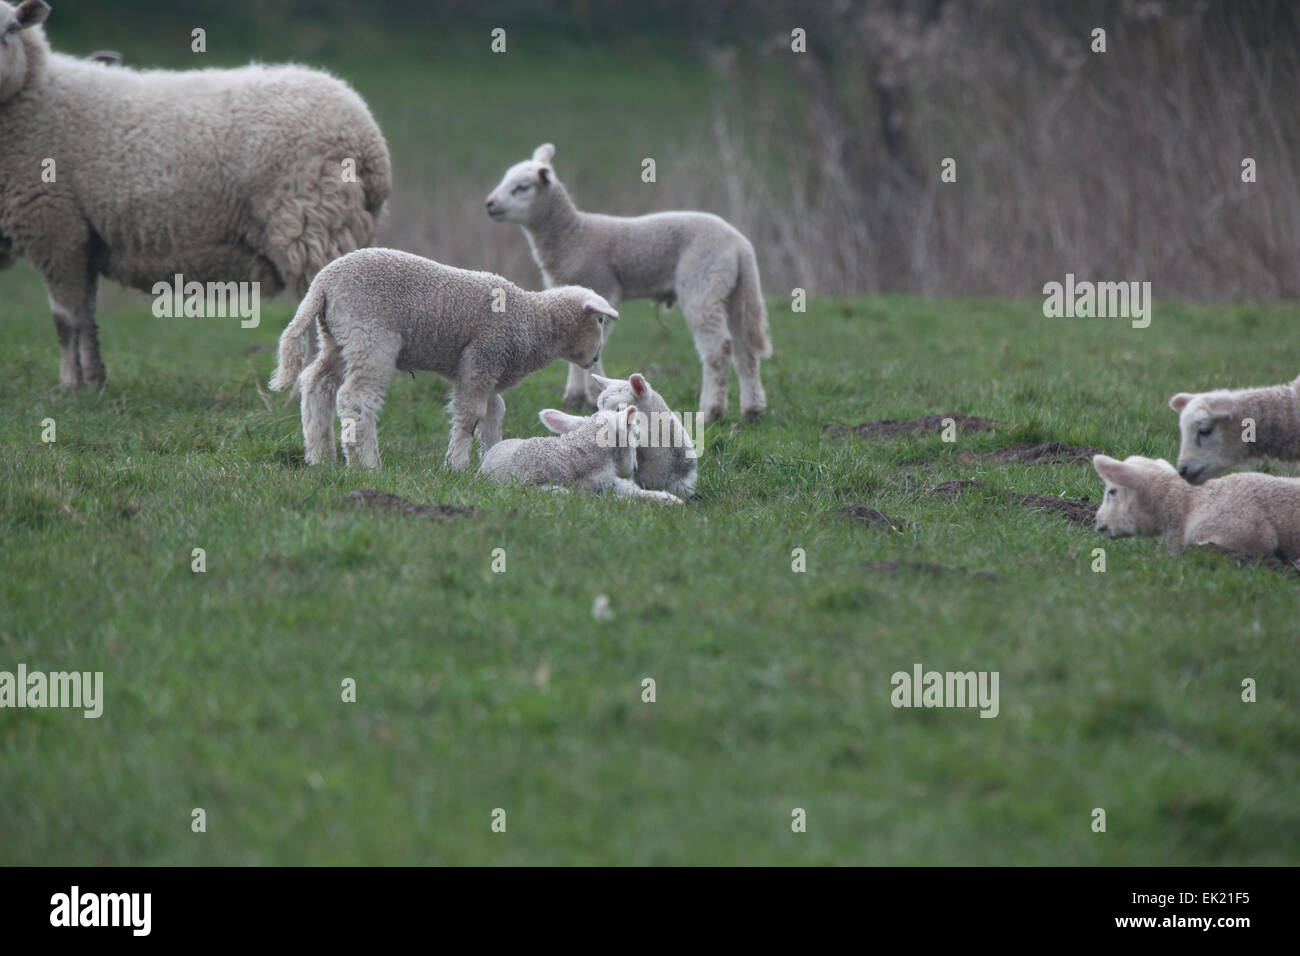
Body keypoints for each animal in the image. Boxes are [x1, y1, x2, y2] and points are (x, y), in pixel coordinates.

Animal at [0, 0, 391, 388]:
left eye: (10, 30)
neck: (38, 96)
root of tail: (368, 136)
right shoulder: (82, 238)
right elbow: (84, 315)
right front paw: (93, 381)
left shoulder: (56, 227)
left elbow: (64, 320)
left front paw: (68, 386)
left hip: (312, 226)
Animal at [268, 248, 620, 470]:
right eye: (601, 320)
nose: (595, 359)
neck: (534, 322)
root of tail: (322, 283)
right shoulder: (482, 357)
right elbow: (469, 415)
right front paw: (457, 465)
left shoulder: (488, 370)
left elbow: (493, 414)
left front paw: (492, 456)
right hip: (370, 337)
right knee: (355, 399)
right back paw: (365, 463)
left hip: (337, 339)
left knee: (317, 383)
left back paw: (319, 455)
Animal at [485, 142, 772, 423]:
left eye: (522, 187)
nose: (489, 203)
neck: (572, 235)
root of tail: (740, 245)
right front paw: (574, 396)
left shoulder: (602, 287)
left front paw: (591, 394)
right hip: (733, 292)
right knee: (745, 348)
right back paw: (752, 409)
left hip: (703, 283)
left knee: (718, 349)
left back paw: (711, 411)